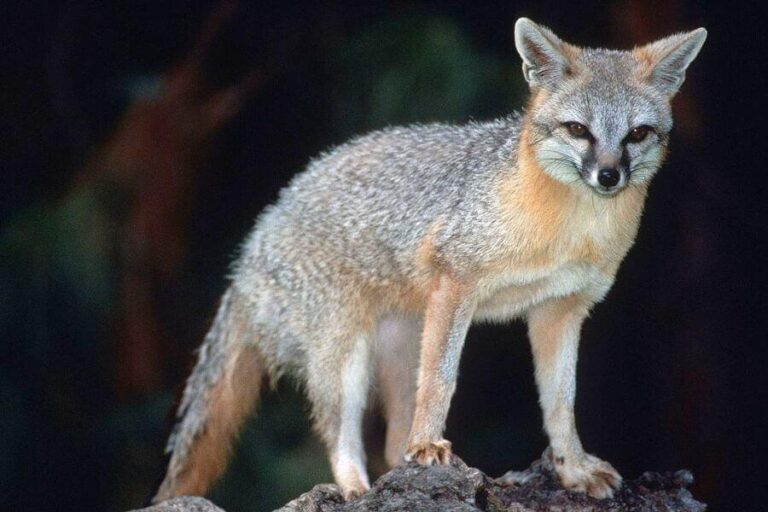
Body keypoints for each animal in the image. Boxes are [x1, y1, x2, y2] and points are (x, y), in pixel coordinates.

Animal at [154, 18, 707, 503]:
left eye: (637, 134)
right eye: (578, 129)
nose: (609, 176)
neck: (570, 231)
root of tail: (254, 241)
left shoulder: (560, 310)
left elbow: (561, 403)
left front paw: (572, 469)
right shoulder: (455, 282)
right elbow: (442, 380)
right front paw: (428, 445)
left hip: (400, 347)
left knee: (390, 438)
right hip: (345, 356)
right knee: (340, 432)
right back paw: (356, 489)